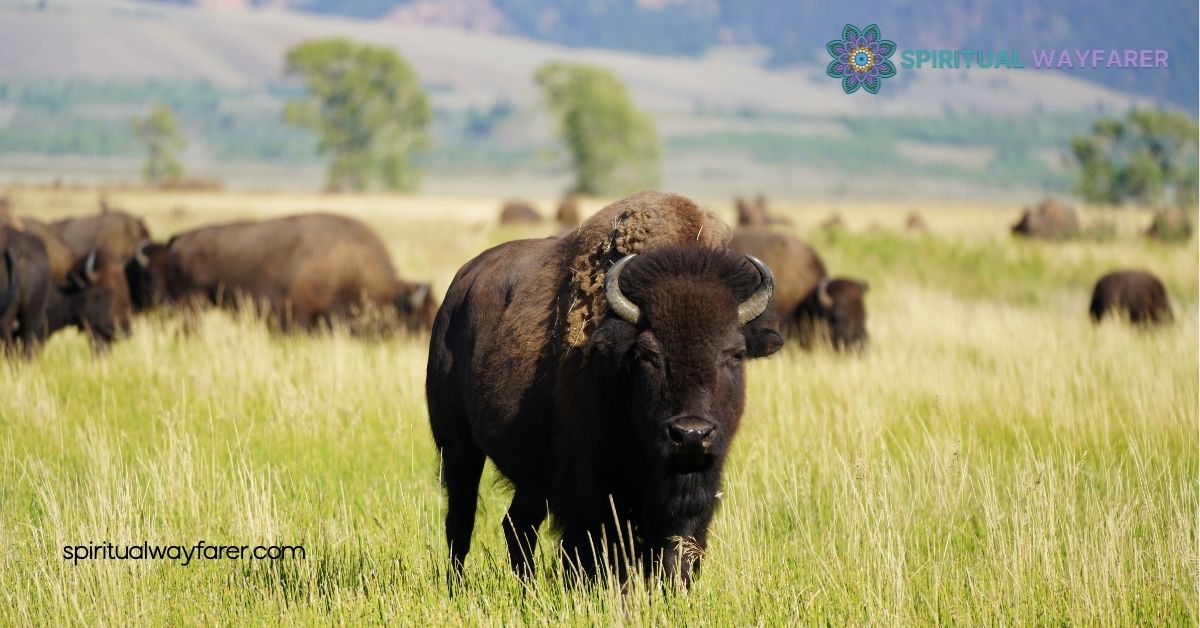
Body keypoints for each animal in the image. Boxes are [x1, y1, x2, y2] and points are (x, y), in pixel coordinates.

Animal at [427, 191, 783, 588]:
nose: (691, 434)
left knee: (517, 524)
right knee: (461, 520)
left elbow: (678, 549)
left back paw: (527, 588)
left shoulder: (699, 481)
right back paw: (456, 586)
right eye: (646, 354)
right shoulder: (593, 485)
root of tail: (457, 291)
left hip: (529, 471)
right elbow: (602, 550)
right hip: (458, 447)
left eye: (734, 353)